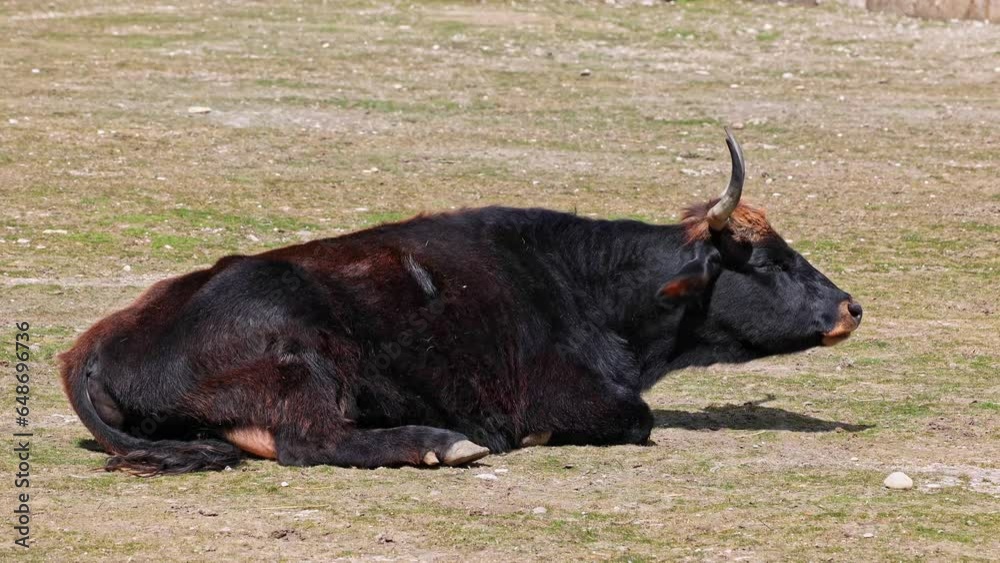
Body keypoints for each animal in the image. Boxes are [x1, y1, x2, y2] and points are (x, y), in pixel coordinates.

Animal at [59, 130, 863, 475]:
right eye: (769, 259)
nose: (851, 308)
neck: (582, 284)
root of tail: (89, 348)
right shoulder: (575, 396)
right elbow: (633, 418)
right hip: (305, 365)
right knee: (309, 442)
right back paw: (440, 441)